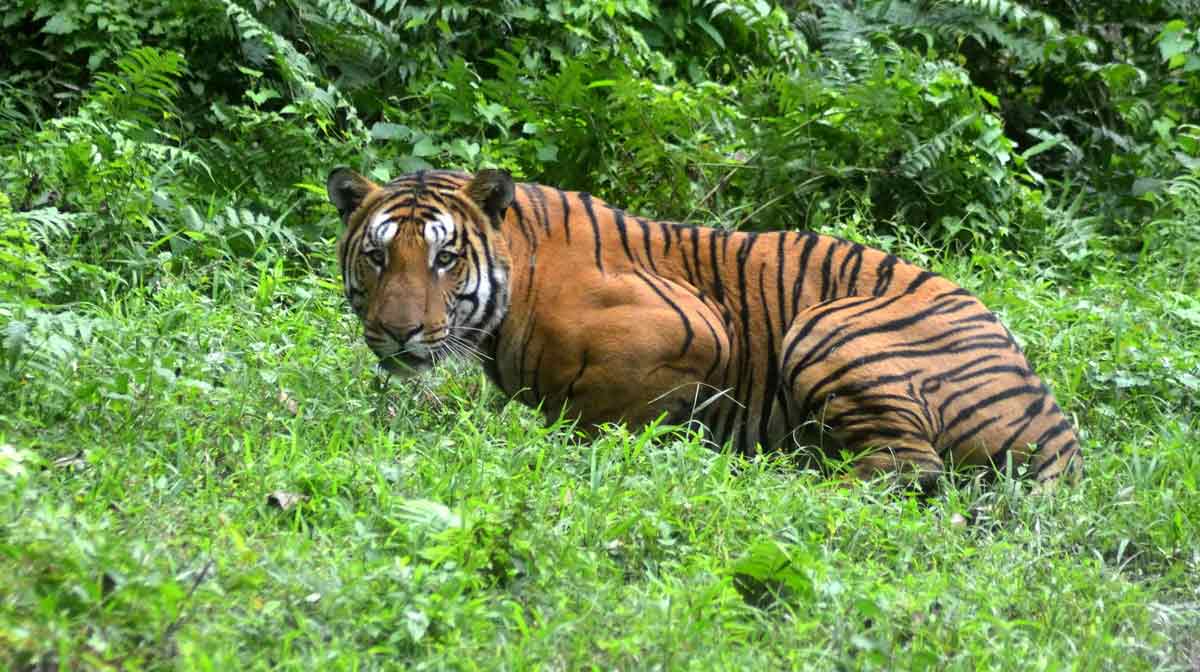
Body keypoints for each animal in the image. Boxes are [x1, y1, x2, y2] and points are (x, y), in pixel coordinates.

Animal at [327, 166, 1083, 490]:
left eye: (445, 258)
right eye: (377, 256)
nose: (398, 332)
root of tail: (1057, 428)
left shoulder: (696, 327)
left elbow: (602, 413)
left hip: (827, 326)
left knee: (907, 469)